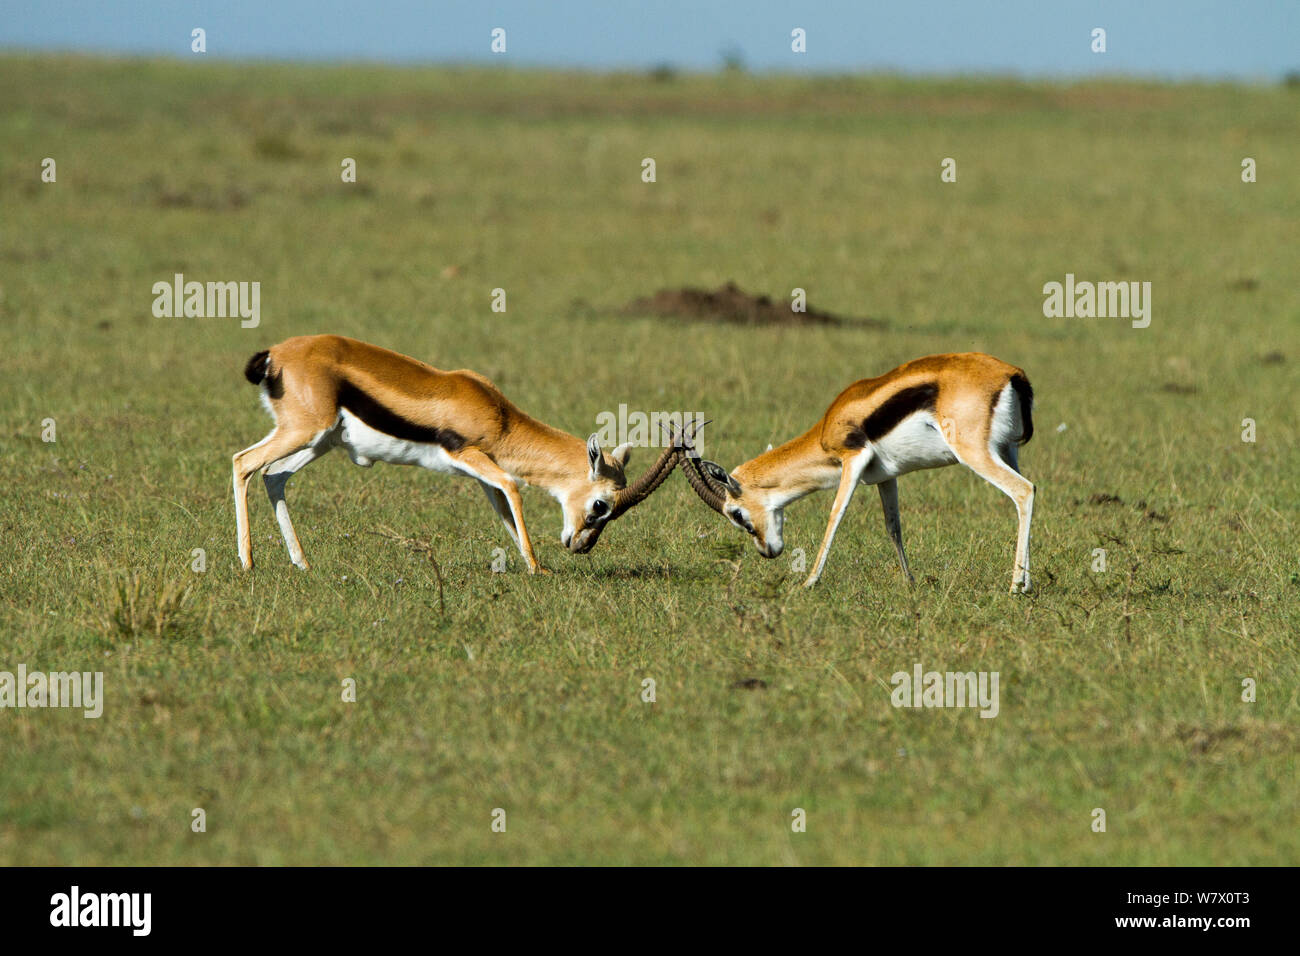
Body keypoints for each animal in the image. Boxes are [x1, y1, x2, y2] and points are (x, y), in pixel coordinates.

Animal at [232, 334, 684, 572]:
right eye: (600, 505)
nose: (580, 546)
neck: (499, 417)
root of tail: (275, 355)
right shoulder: (469, 455)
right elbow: (513, 488)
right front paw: (537, 568)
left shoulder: (481, 474)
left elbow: (504, 509)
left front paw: (532, 565)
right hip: (303, 432)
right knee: (243, 463)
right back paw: (248, 563)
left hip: (319, 441)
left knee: (273, 476)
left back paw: (302, 563)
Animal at [678, 353, 1036, 592]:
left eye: (736, 514)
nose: (768, 551)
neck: (829, 425)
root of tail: (1013, 374)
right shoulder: (886, 477)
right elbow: (893, 526)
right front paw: (910, 582)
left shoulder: (853, 459)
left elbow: (835, 516)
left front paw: (809, 581)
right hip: (1008, 451)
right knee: (1025, 499)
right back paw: (1027, 581)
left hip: (976, 454)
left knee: (1024, 490)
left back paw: (1016, 586)